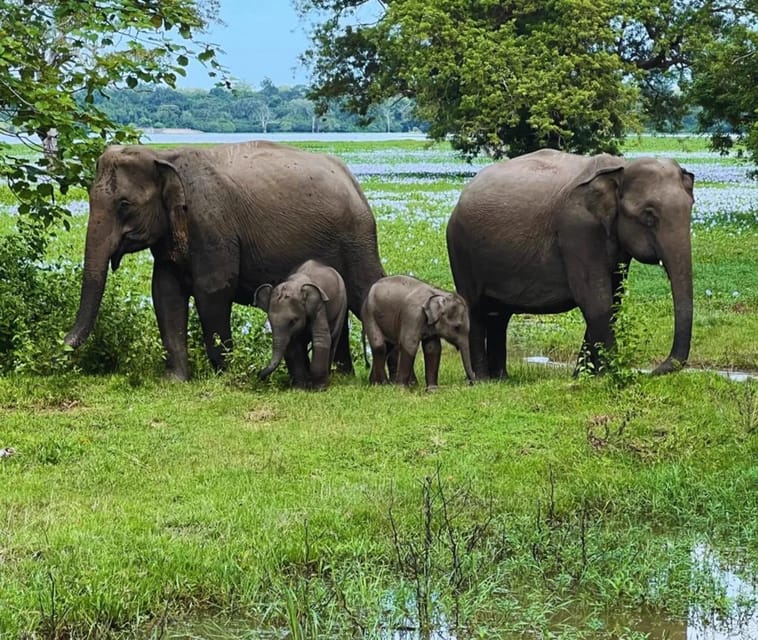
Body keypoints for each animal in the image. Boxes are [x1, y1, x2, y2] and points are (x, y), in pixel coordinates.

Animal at [254, 260, 347, 389]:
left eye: (293, 321)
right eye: (270, 321)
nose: (258, 374)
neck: (295, 284)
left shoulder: (319, 306)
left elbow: (321, 338)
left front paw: (319, 388)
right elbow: (292, 345)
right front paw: (298, 388)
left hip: (342, 305)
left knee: (333, 339)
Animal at [446, 149, 694, 379]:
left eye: (691, 209)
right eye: (649, 215)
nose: (650, 372)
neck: (621, 167)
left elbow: (614, 299)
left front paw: (584, 376)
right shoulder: (577, 230)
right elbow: (595, 299)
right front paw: (609, 375)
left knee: (499, 314)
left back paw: (501, 379)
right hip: (459, 248)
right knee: (475, 308)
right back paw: (481, 380)